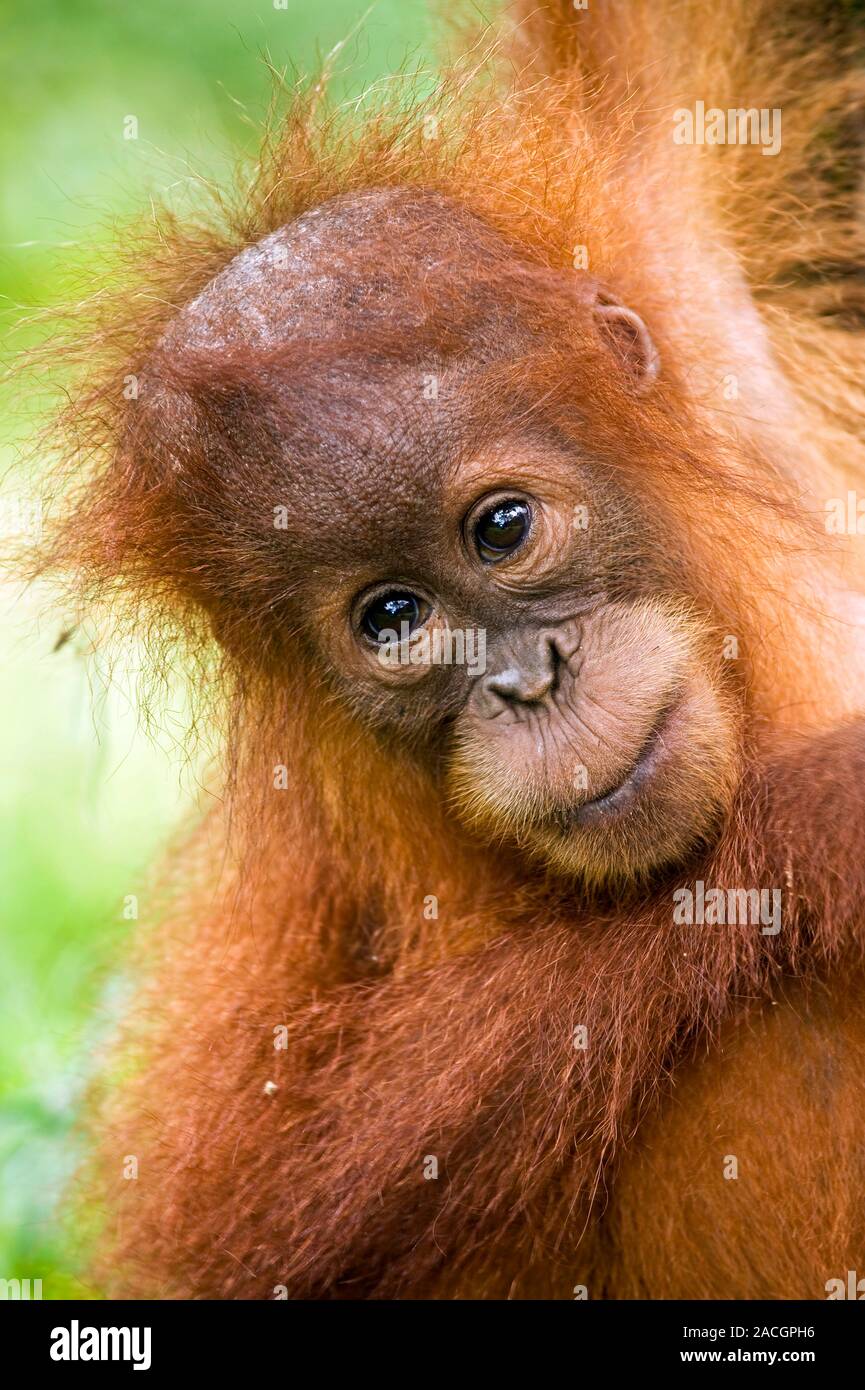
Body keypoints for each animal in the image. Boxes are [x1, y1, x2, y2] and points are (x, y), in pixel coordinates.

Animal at [26, 0, 865, 1297]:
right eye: (391, 618)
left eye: (502, 527)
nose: (529, 683)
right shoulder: (301, 873)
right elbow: (250, 1207)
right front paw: (837, 809)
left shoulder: (677, 263)